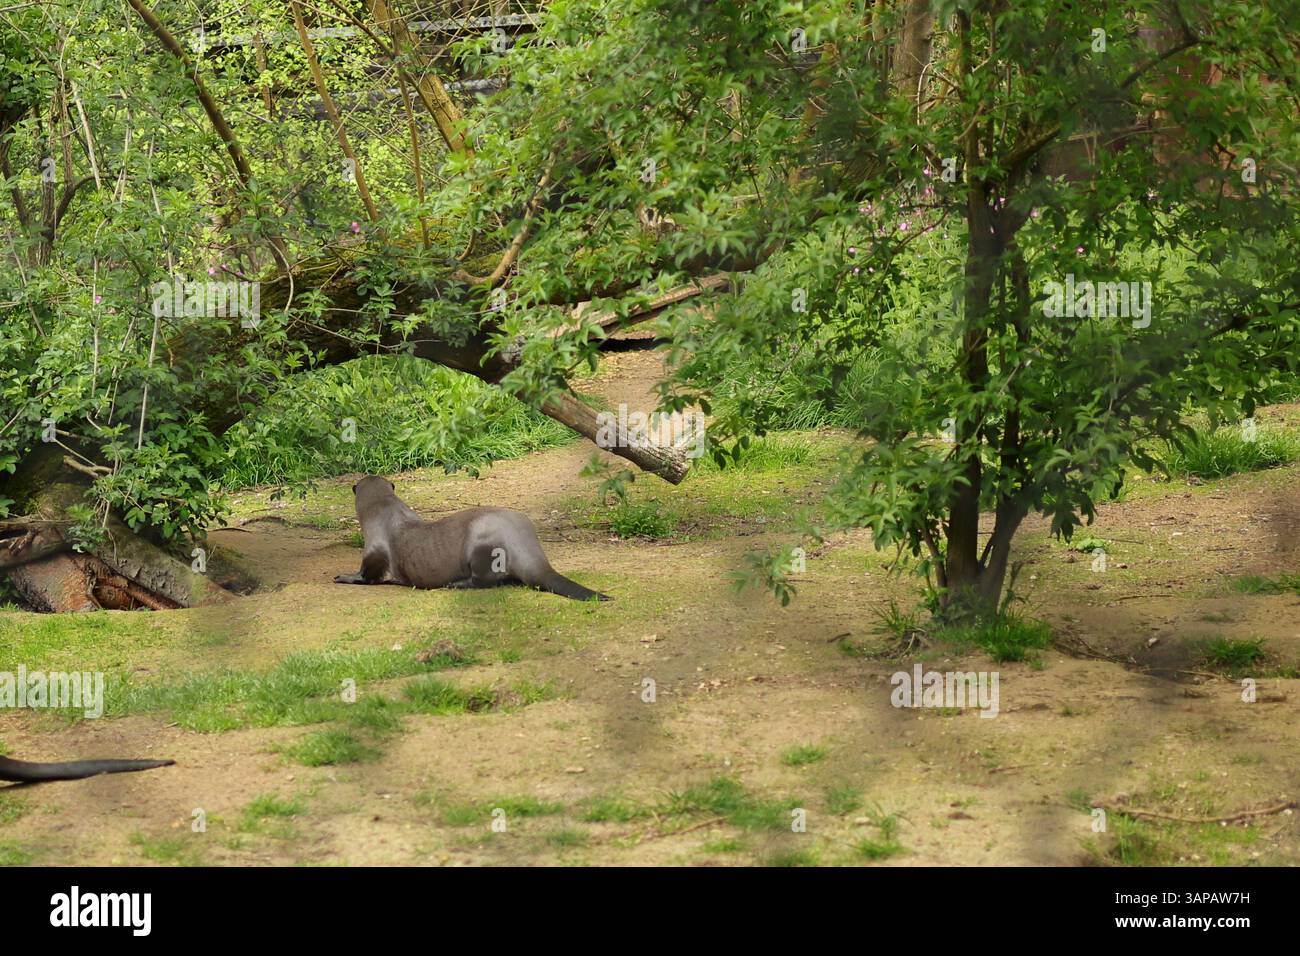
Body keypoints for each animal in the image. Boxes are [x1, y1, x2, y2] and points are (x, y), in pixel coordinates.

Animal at [335, 476, 610, 601]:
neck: (383, 512)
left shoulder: (374, 552)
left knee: (484, 582)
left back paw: (454, 584)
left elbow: (366, 575)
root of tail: (523, 544)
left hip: (480, 548)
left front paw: (343, 576)